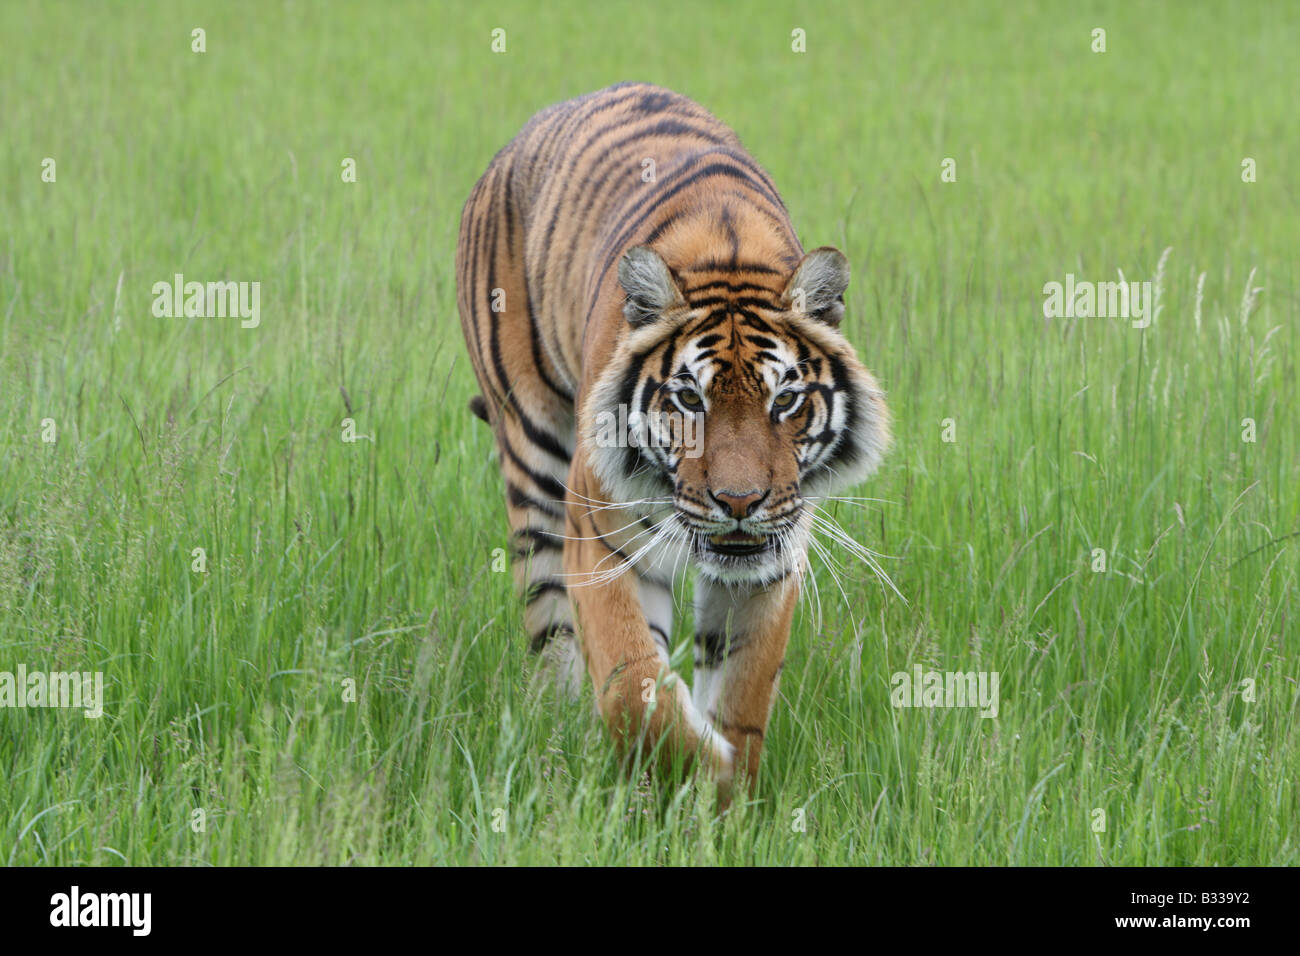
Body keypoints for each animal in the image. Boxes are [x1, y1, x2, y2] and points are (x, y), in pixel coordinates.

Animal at [456, 82, 891, 802]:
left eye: (785, 400)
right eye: (690, 400)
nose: (739, 502)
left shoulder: (774, 555)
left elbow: (742, 691)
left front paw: (730, 795)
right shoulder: (602, 536)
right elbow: (636, 689)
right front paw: (697, 774)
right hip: (532, 455)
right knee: (551, 630)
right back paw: (559, 740)